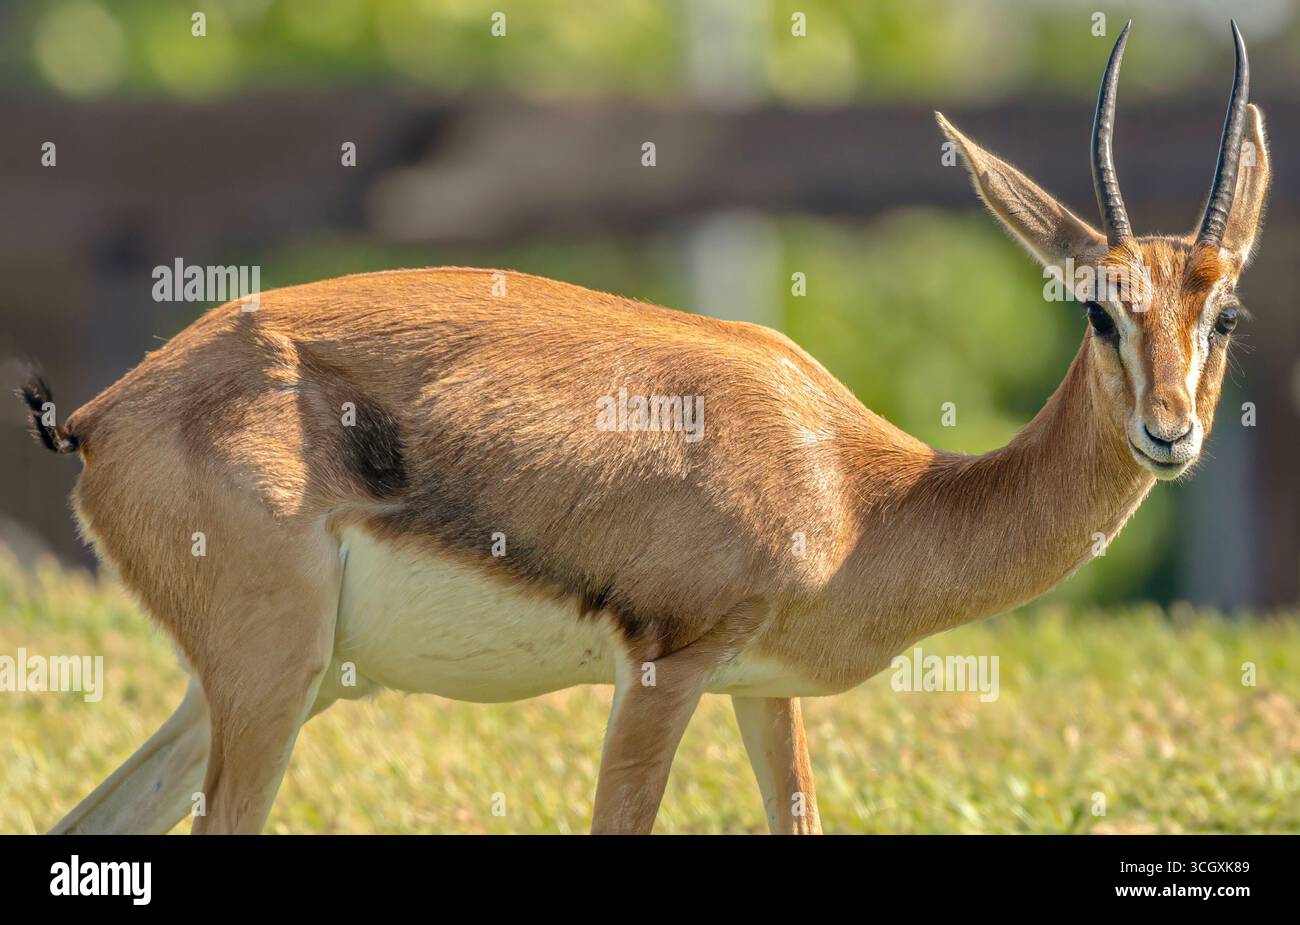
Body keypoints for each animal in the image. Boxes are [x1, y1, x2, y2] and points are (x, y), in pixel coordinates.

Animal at [20, 21, 1267, 835]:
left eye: (1225, 310)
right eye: (1099, 307)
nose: (1167, 433)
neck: (858, 491)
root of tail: (104, 412)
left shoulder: (762, 690)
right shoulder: (664, 669)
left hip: (285, 683)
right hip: (273, 680)